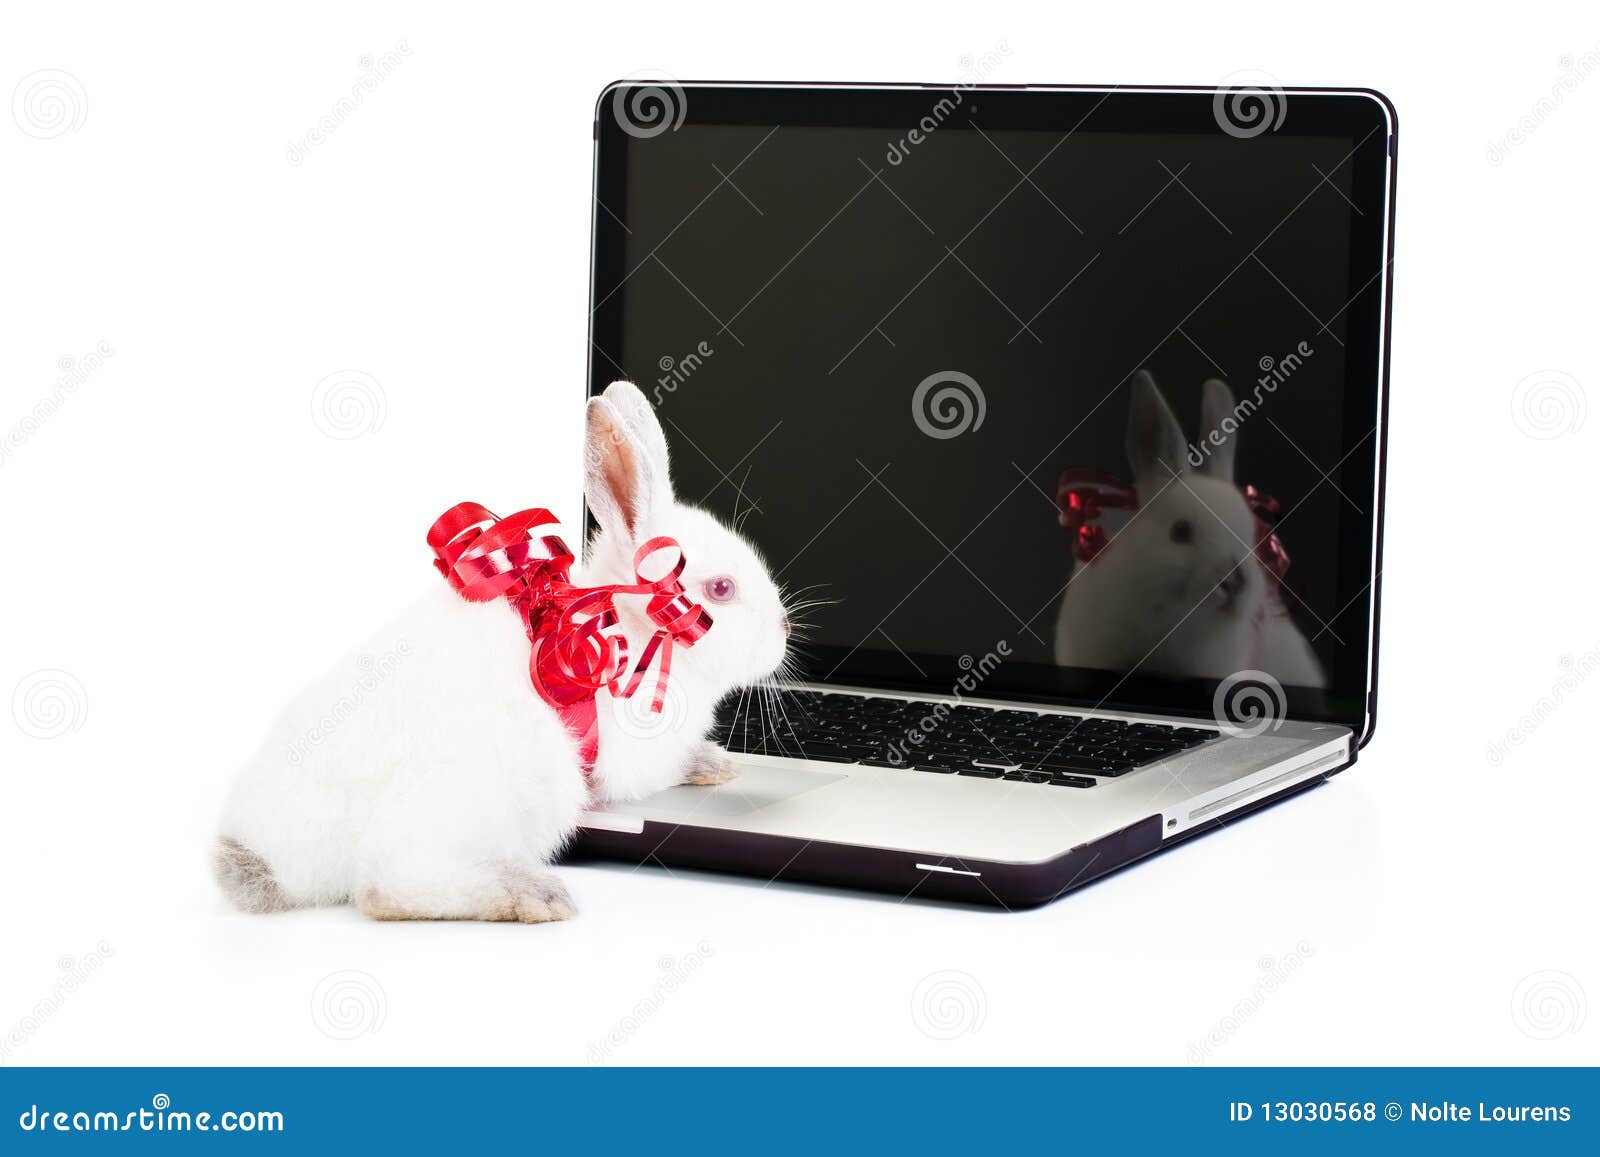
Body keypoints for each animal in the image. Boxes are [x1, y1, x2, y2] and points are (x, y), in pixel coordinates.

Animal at [213, 380, 791, 922]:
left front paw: (716, 763)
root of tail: (274, 855)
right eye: (722, 589)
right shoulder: (634, 764)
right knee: (385, 888)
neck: (621, 624)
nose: (783, 634)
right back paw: (533, 896)